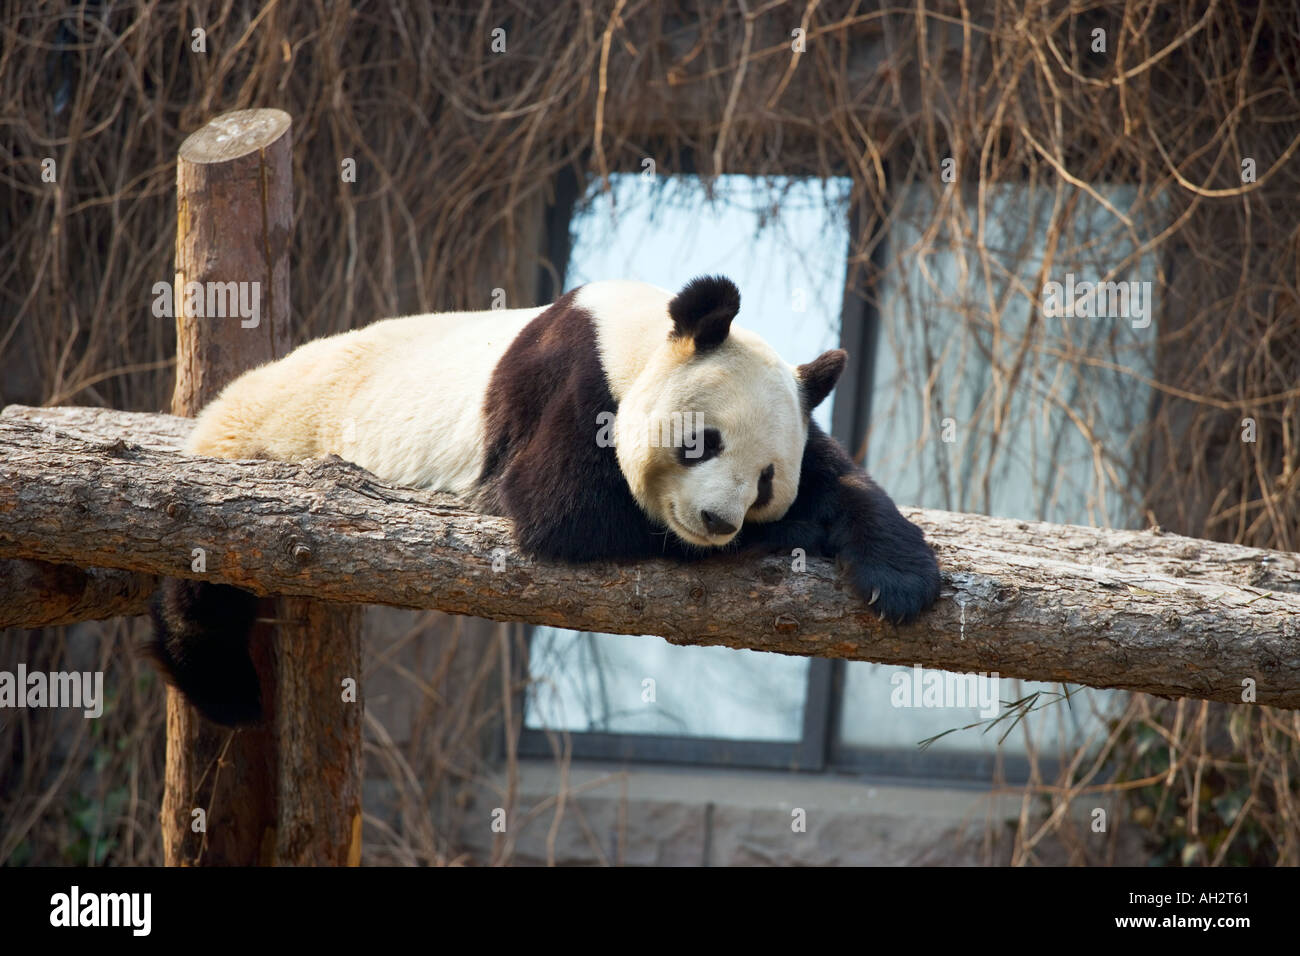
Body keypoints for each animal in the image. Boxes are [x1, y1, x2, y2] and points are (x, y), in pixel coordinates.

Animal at [151, 275, 941, 725]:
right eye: (702, 441)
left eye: (766, 479)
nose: (718, 521)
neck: (635, 333)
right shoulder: (573, 380)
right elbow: (565, 510)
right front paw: (799, 531)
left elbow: (840, 475)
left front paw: (899, 576)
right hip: (251, 455)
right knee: (203, 588)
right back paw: (221, 690)